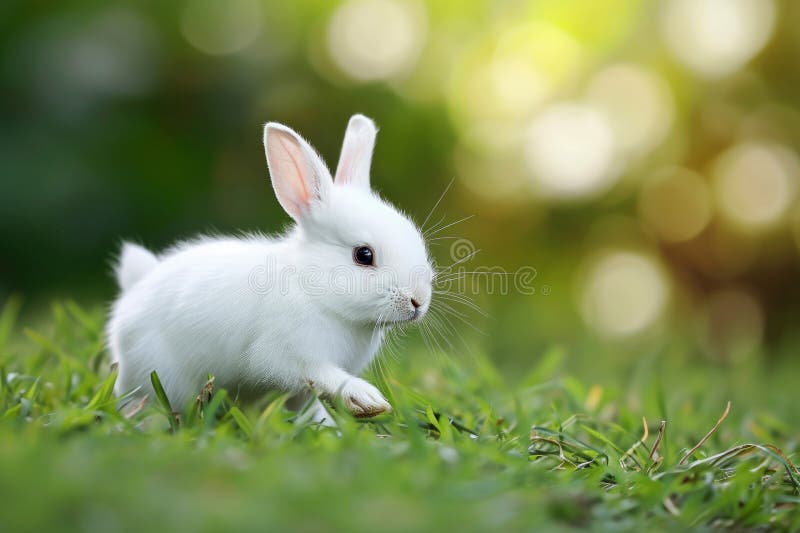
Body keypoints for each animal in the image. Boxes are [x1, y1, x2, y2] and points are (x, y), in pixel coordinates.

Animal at [106, 114, 434, 422]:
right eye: (364, 255)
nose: (418, 301)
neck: (313, 291)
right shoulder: (286, 355)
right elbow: (320, 374)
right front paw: (366, 398)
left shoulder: (299, 388)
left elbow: (308, 405)